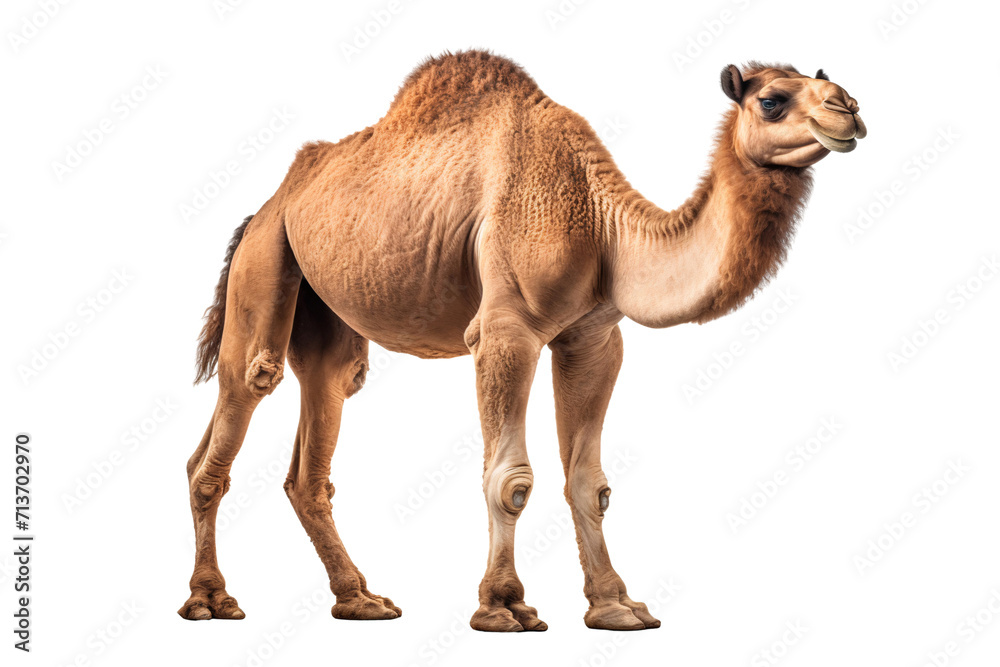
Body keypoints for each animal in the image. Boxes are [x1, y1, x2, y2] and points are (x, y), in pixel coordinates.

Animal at [179, 51, 865, 631]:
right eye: (772, 100)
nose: (849, 107)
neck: (602, 223)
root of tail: (268, 205)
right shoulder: (506, 330)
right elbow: (510, 479)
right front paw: (504, 605)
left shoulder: (593, 338)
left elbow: (590, 482)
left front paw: (616, 606)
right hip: (266, 261)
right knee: (247, 388)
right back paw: (211, 599)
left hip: (325, 305)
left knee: (321, 417)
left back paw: (361, 599)